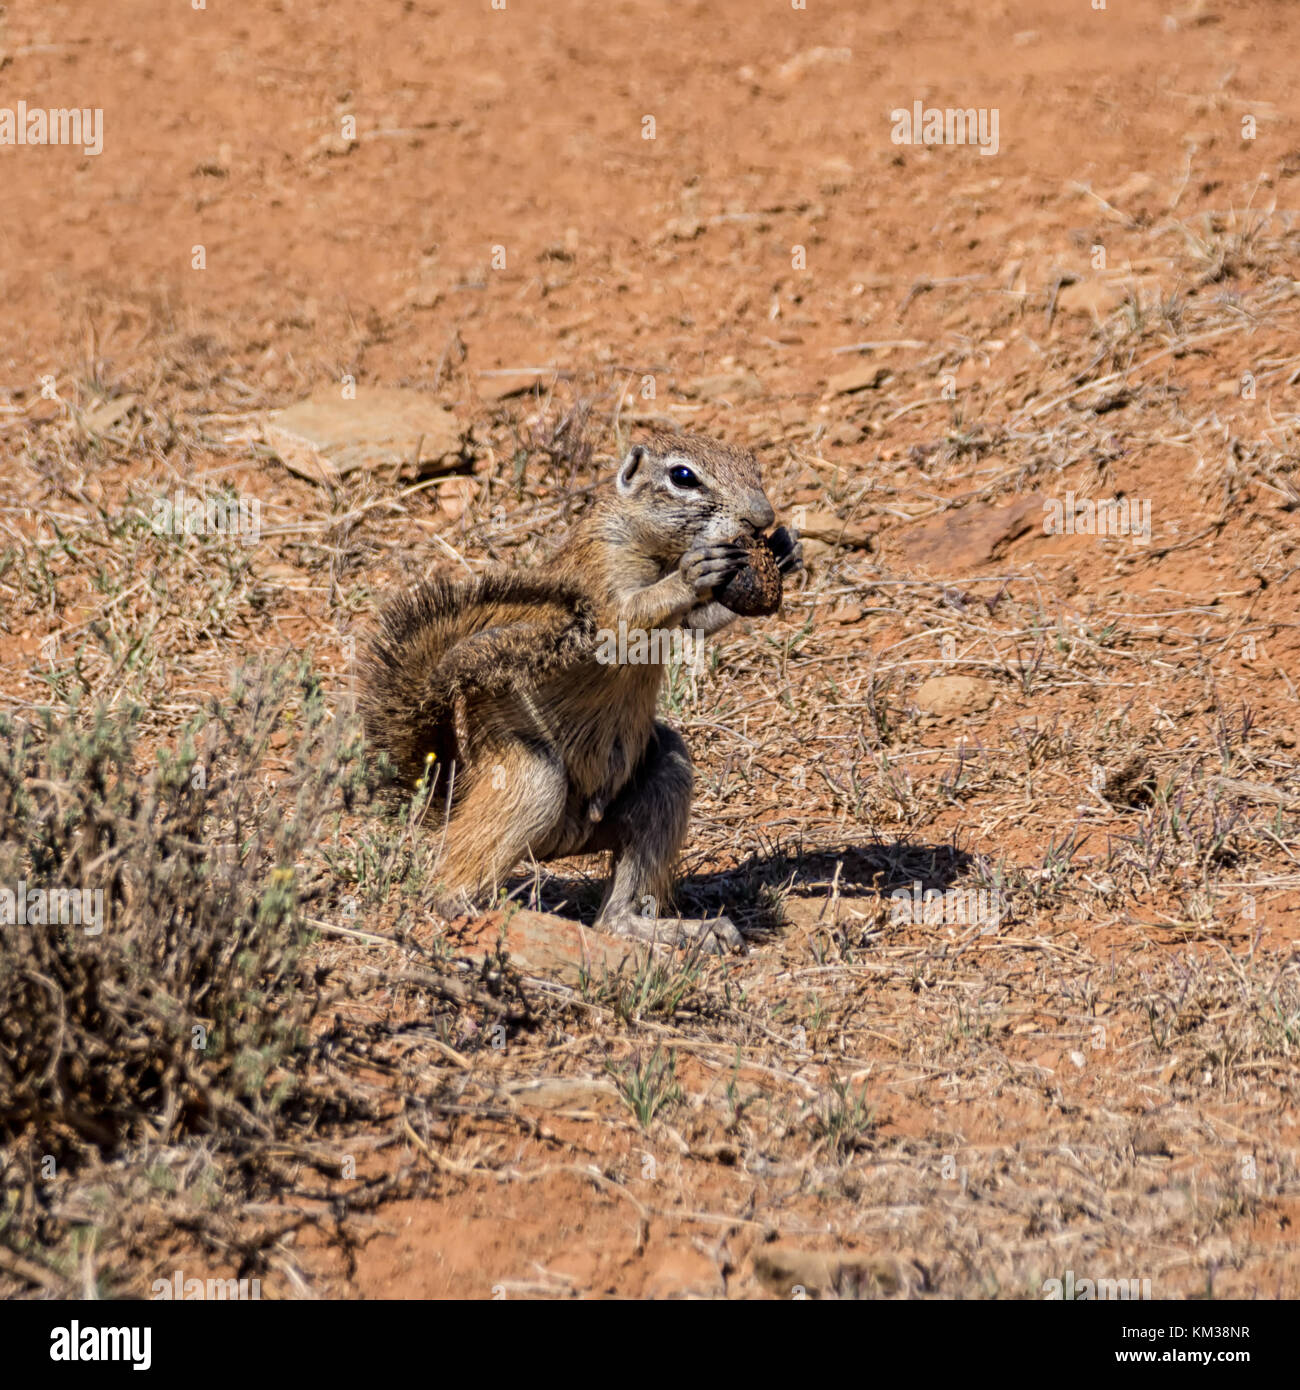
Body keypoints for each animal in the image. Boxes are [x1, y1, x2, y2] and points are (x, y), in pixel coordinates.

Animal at [357, 430, 802, 951]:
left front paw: (787, 552)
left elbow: (699, 625)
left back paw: (682, 929)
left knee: (613, 914)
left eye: (753, 464)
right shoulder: (600, 572)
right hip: (532, 778)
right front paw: (694, 575)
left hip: (664, 773)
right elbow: (623, 620)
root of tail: (455, 800)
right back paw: (473, 911)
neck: (656, 550)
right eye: (682, 476)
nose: (763, 518)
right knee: (447, 883)